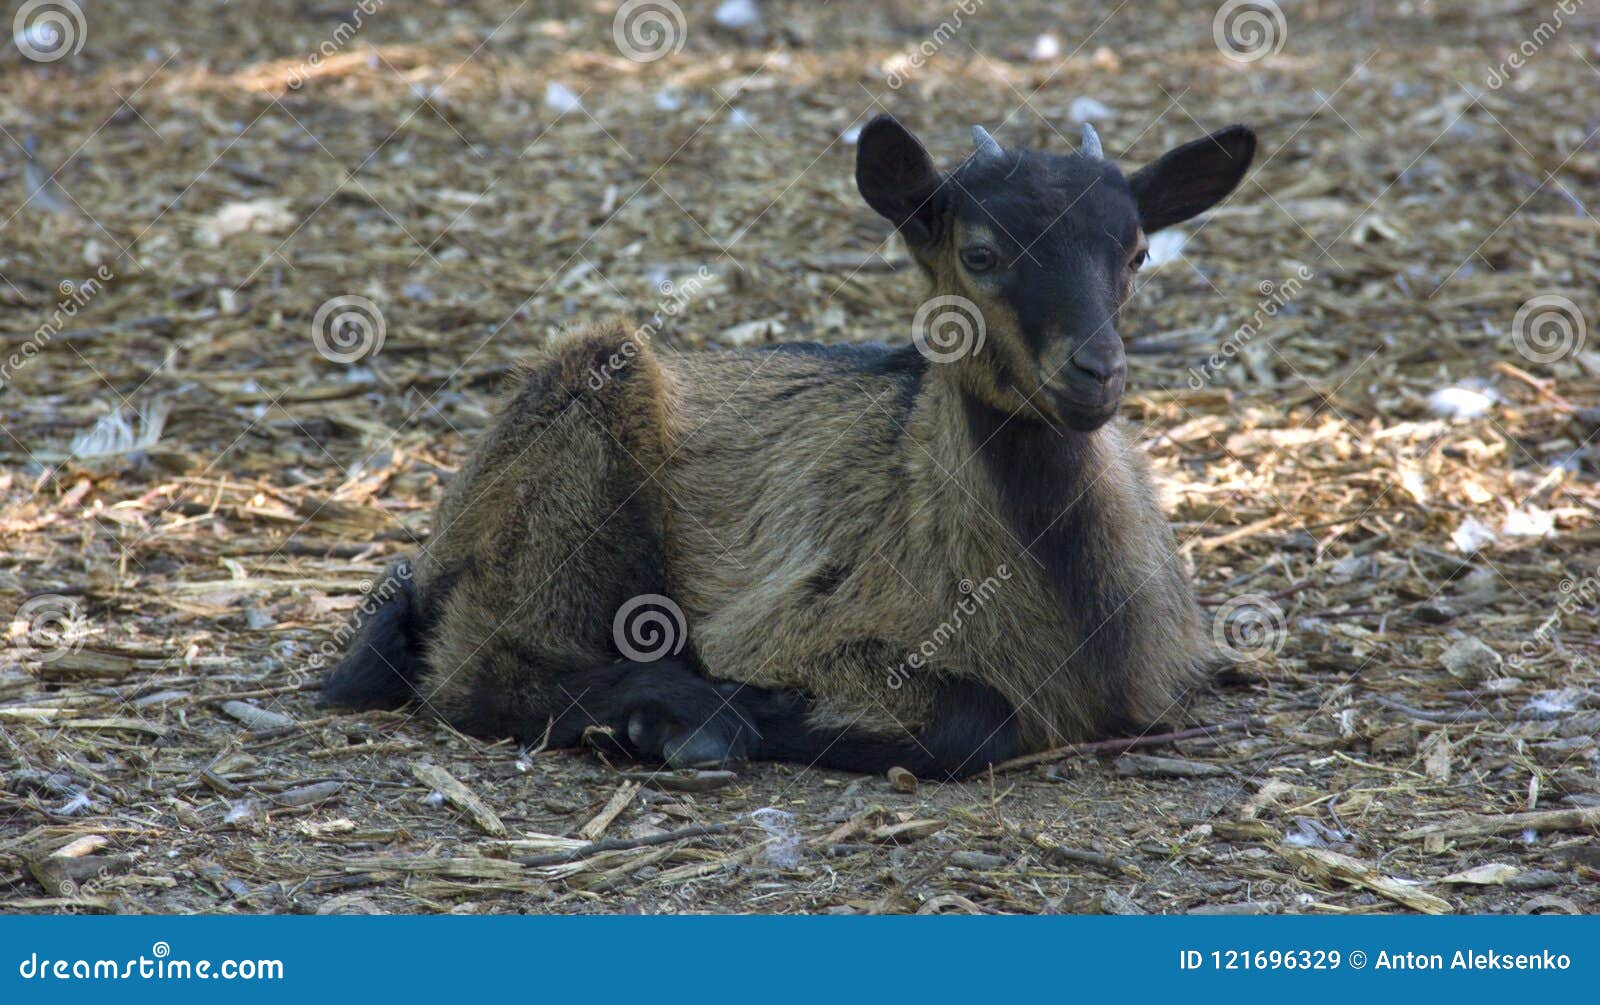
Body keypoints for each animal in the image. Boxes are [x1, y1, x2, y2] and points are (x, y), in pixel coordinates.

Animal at [323, 114, 1257, 779]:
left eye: (1137, 254)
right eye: (981, 252)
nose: (1096, 371)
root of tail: (440, 538)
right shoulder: (803, 620)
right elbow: (975, 722)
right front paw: (742, 706)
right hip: (574, 455)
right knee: (476, 667)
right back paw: (684, 718)